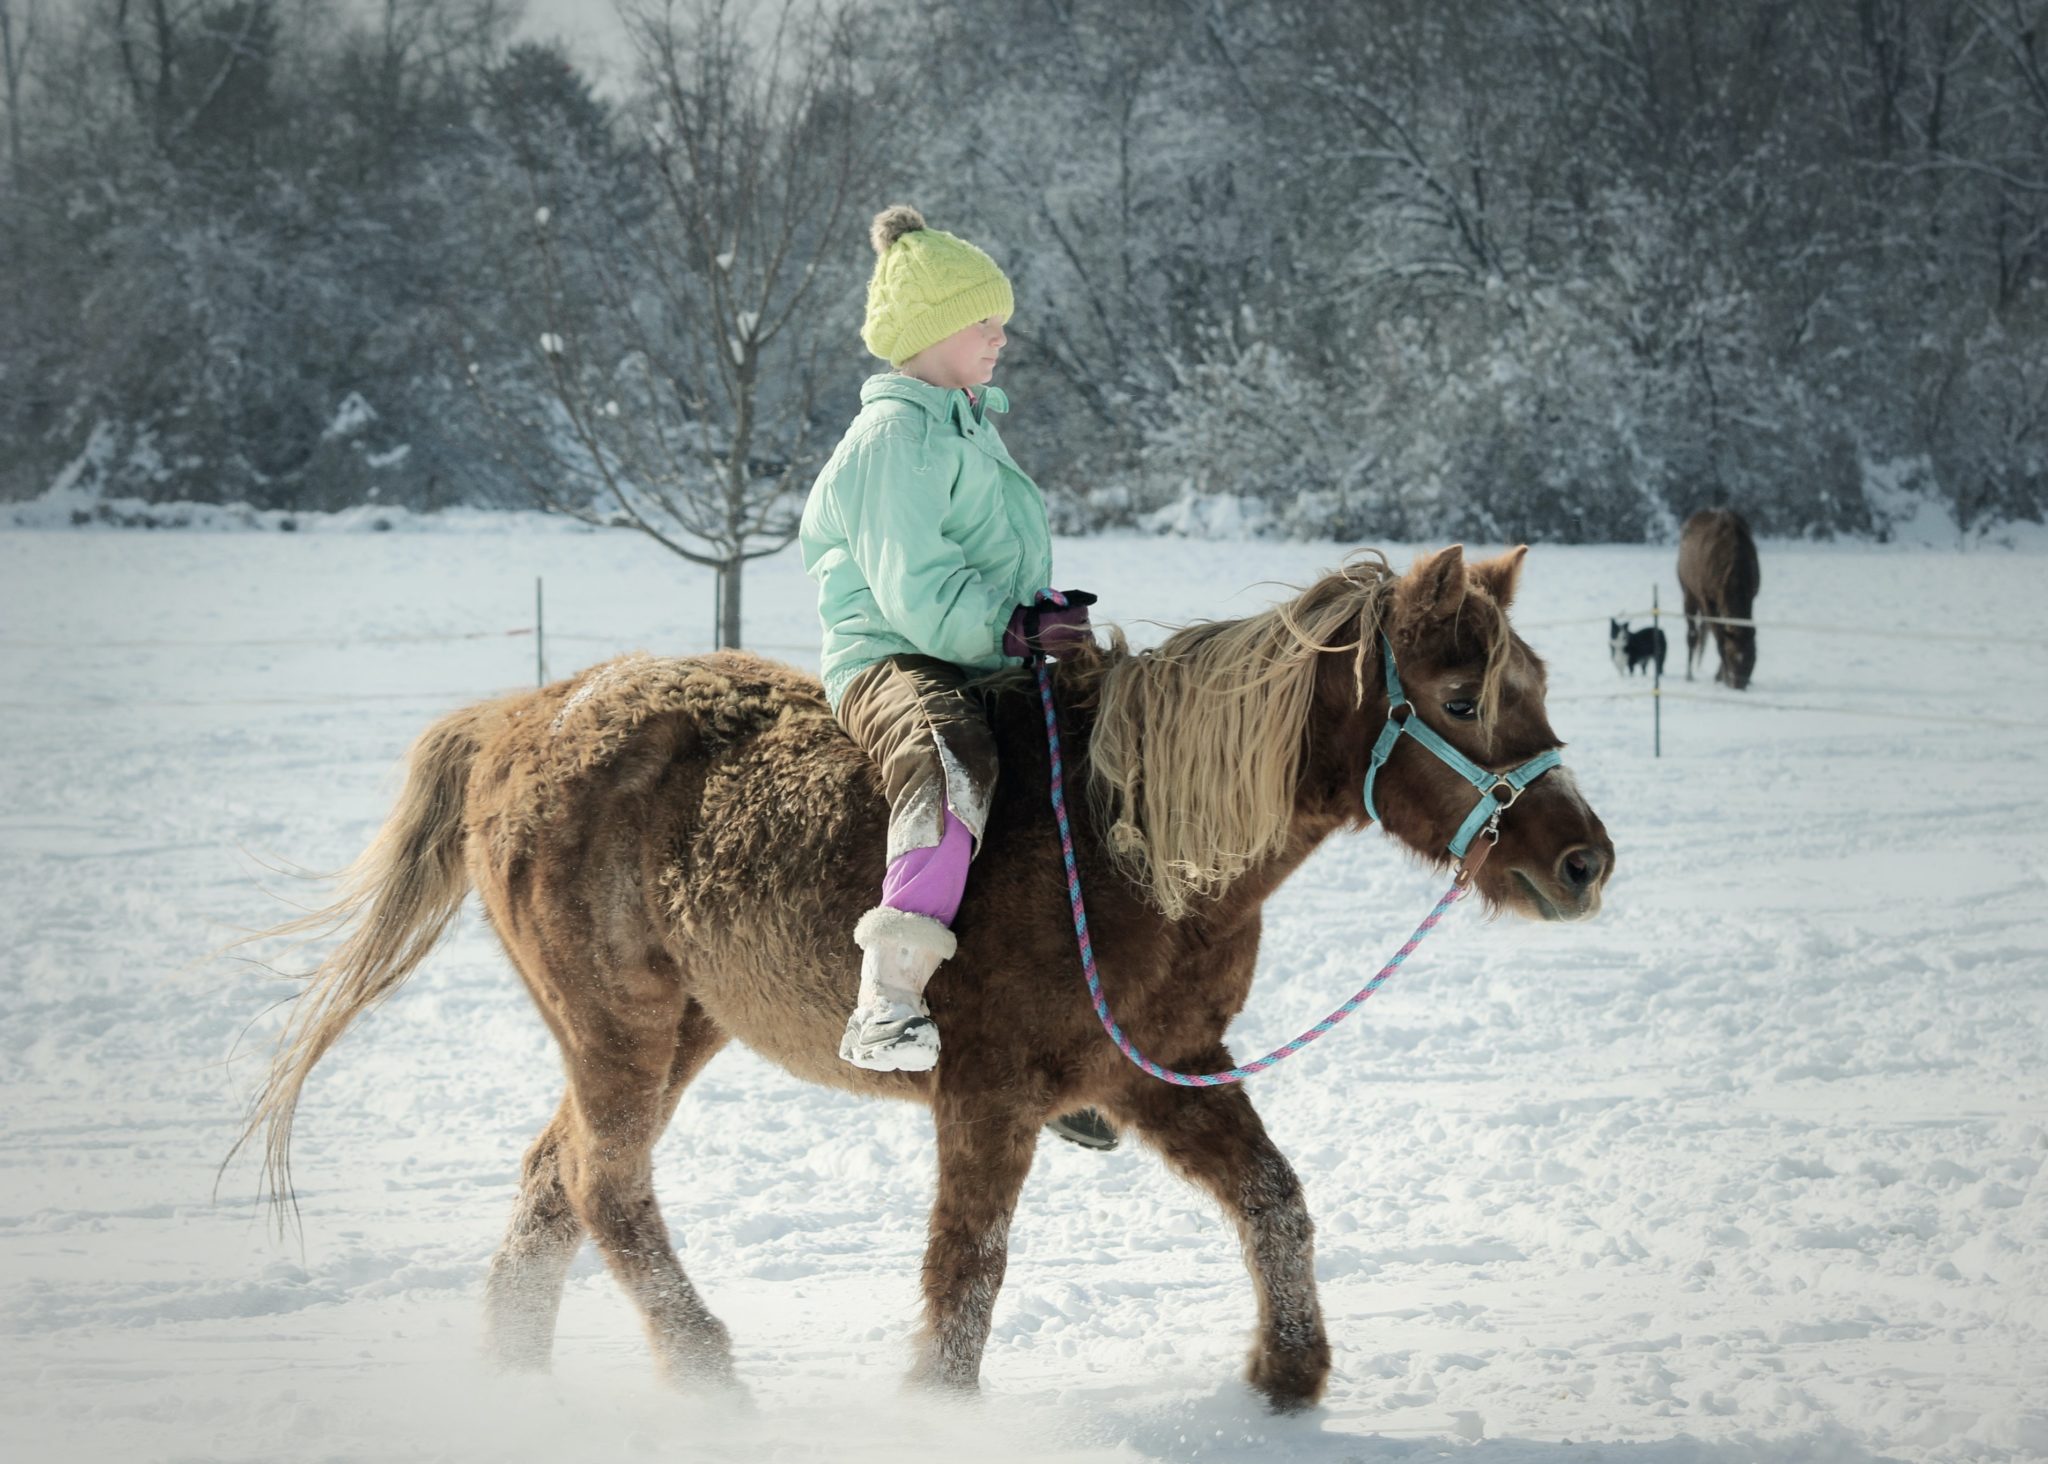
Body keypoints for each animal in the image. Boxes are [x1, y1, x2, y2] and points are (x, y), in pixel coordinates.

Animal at [232, 545, 1614, 1413]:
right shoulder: (987, 1099)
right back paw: (705, 1372)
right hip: (617, 1027)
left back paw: (519, 1376)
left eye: (1533, 683)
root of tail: (525, 716)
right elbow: (966, 1276)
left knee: (550, 1184)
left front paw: (1287, 1376)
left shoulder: (1163, 1071)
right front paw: (934, 1412)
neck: (1122, 848)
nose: (1583, 859)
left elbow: (1273, 1200)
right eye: (1460, 694)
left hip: (679, 1031)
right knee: (603, 1185)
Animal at [1677, 509, 1760, 689]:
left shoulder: (1751, 596)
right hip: (1689, 594)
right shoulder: (1708, 601)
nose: (1739, 685)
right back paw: (1689, 674)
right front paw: (1722, 677)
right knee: (1692, 634)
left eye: (1753, 658)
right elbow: (1720, 638)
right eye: (1730, 655)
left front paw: (1720, 676)